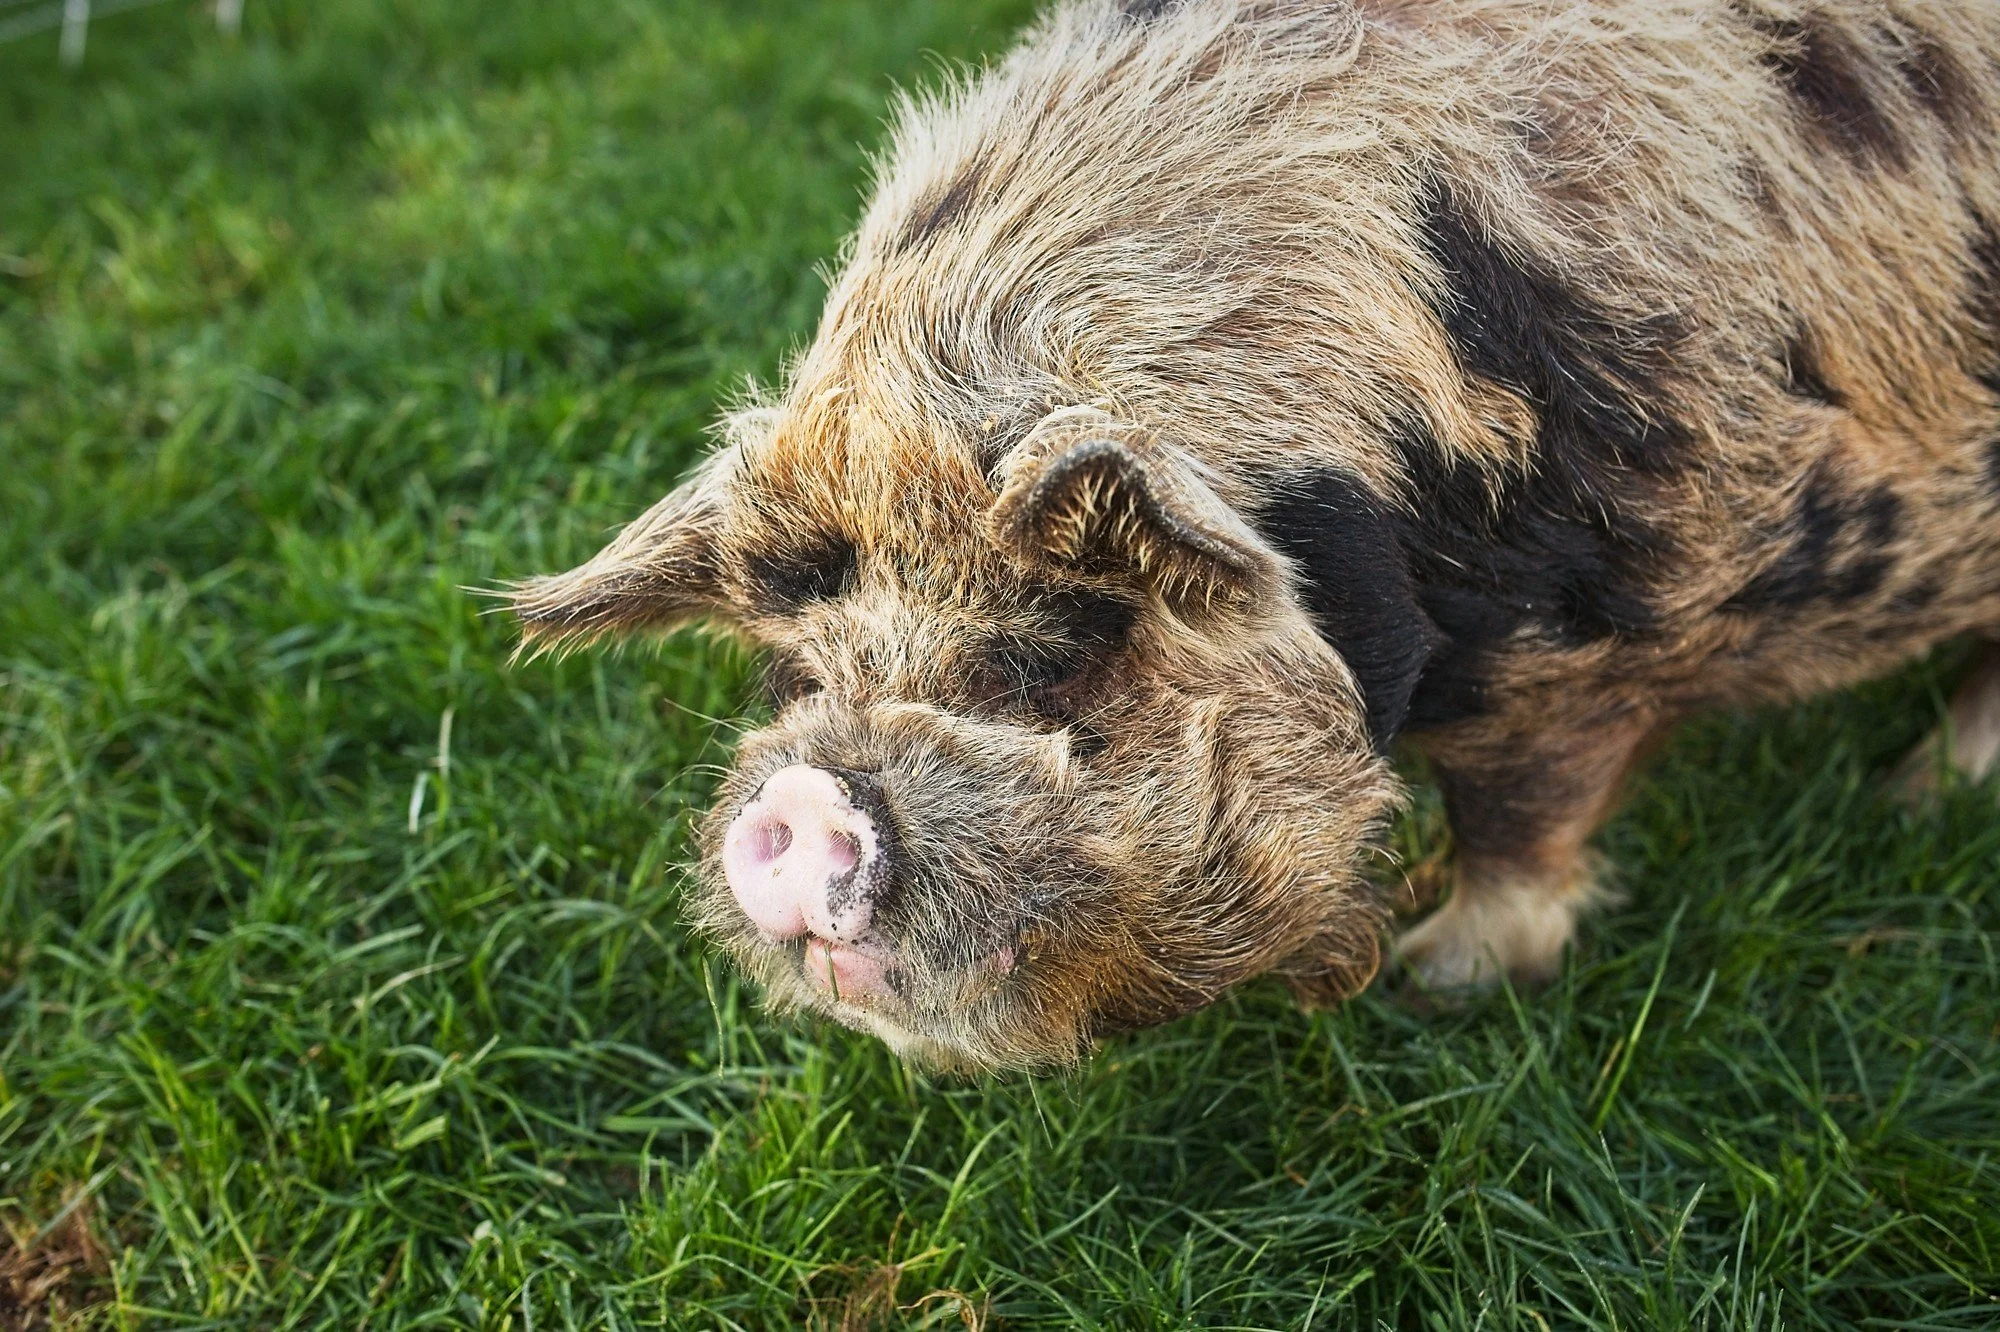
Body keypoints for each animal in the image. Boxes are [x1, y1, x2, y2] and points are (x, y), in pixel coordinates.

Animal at [512, 0, 2000, 1071]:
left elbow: (1525, 822)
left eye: (1050, 659)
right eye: (798, 675)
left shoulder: (1590, 646)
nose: (800, 802)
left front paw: (1438, 983)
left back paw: (1918, 794)